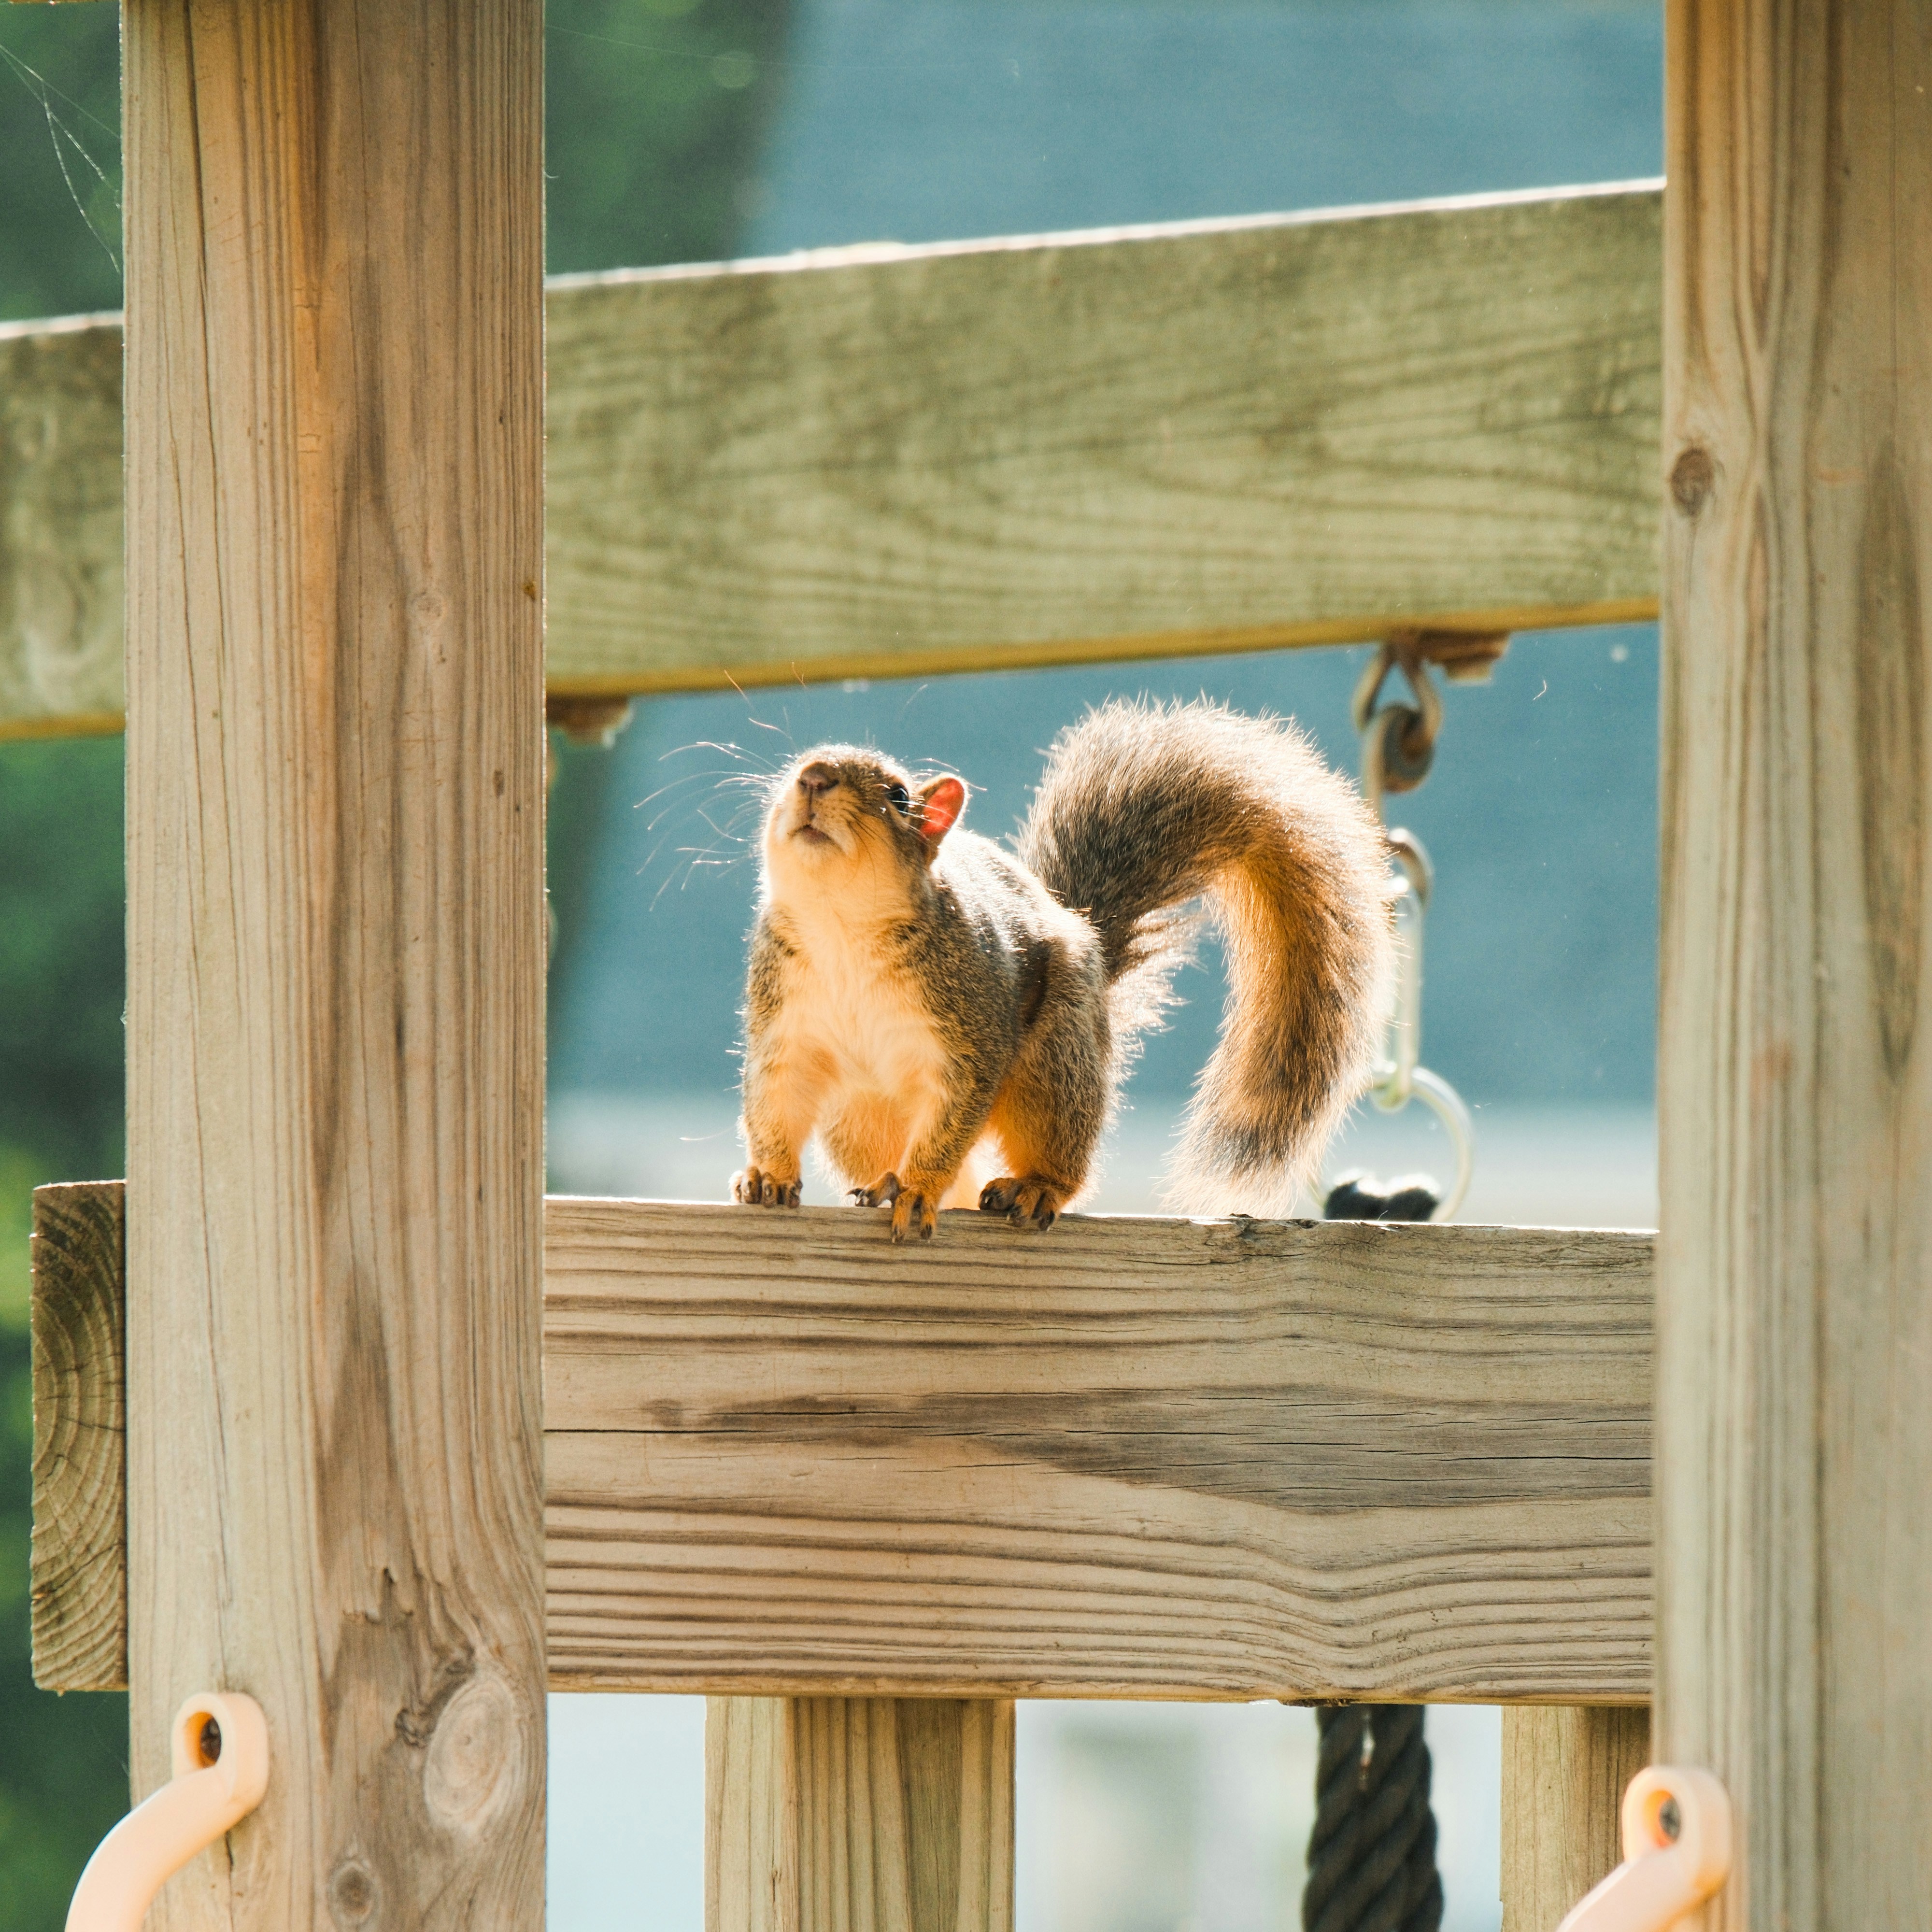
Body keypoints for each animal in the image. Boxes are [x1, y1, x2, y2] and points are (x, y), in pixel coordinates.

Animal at [730, 697, 1397, 1241]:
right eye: (795, 767)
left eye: (898, 797)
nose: (813, 777)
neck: (841, 924)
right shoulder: (785, 1029)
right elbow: (774, 1101)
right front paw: (768, 1176)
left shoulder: (972, 1026)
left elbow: (953, 1116)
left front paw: (919, 1188)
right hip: (862, 1115)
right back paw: (889, 1183)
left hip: (1055, 1062)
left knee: (1050, 1150)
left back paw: (1026, 1187)